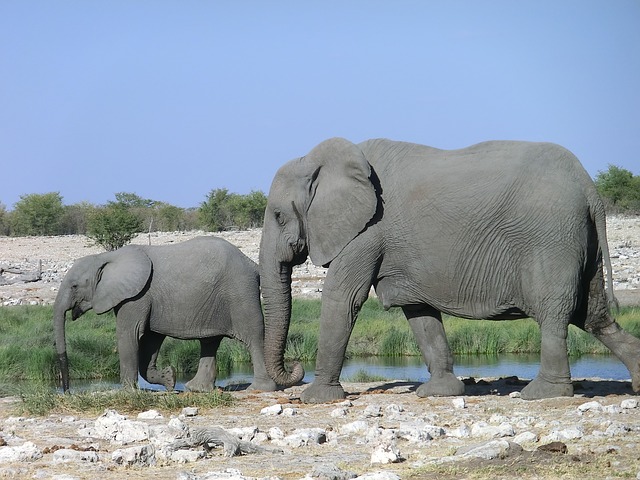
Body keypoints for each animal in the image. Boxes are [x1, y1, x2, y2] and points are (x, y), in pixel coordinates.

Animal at [53, 236, 284, 394]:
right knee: (210, 342)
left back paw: (260, 388)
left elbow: (129, 335)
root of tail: (252, 264)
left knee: (253, 335)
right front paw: (170, 379)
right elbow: (150, 341)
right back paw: (196, 388)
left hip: (240, 291)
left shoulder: (136, 296)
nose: (66, 391)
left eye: (74, 286)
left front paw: (128, 391)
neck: (106, 258)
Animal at [258, 137, 640, 404]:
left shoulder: (367, 230)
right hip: (578, 239)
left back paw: (542, 394)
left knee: (555, 314)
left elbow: (342, 298)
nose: (295, 369)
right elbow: (418, 312)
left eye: (278, 216)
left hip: (551, 238)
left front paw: (315, 399)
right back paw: (636, 382)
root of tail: (589, 187)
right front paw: (439, 392)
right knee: (594, 316)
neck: (321, 162)